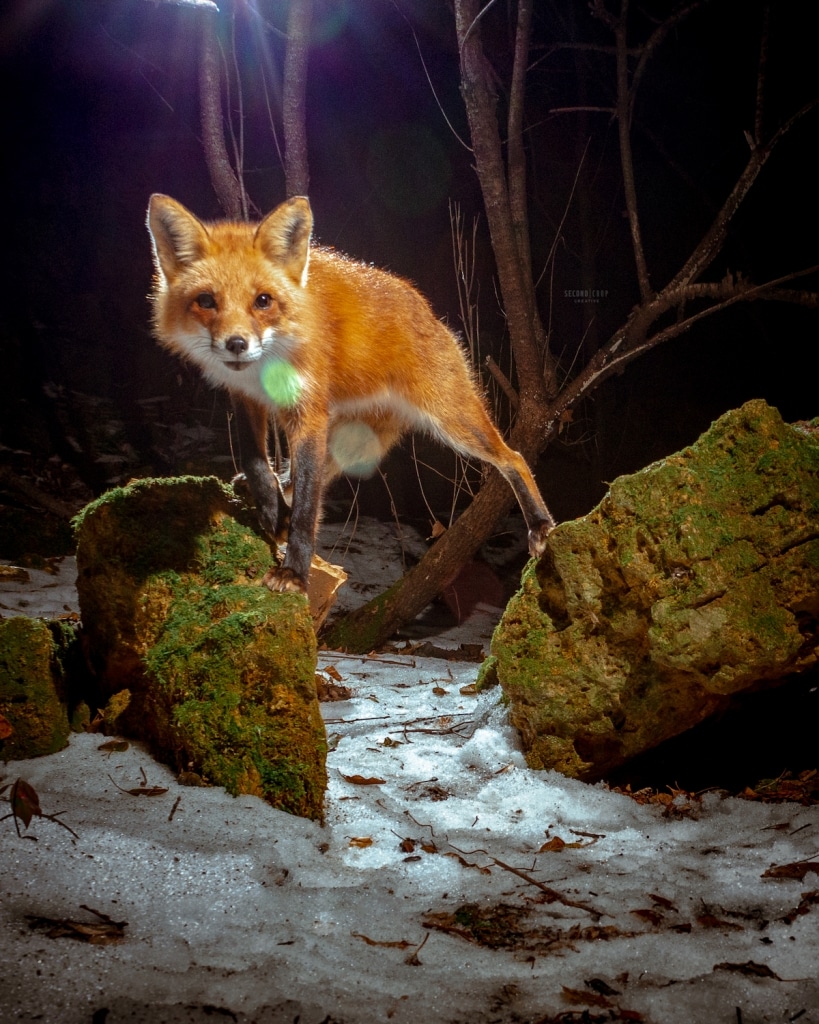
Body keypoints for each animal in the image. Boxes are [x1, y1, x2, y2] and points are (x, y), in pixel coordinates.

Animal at [147, 194, 555, 595]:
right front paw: (271, 511)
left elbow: (308, 506)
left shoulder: (308, 411)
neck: (264, 370)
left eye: (263, 301)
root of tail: (426, 309)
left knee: (513, 457)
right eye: (206, 301)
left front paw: (294, 572)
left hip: (448, 419)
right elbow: (257, 461)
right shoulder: (245, 397)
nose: (236, 344)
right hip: (354, 441)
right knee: (304, 475)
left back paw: (539, 524)